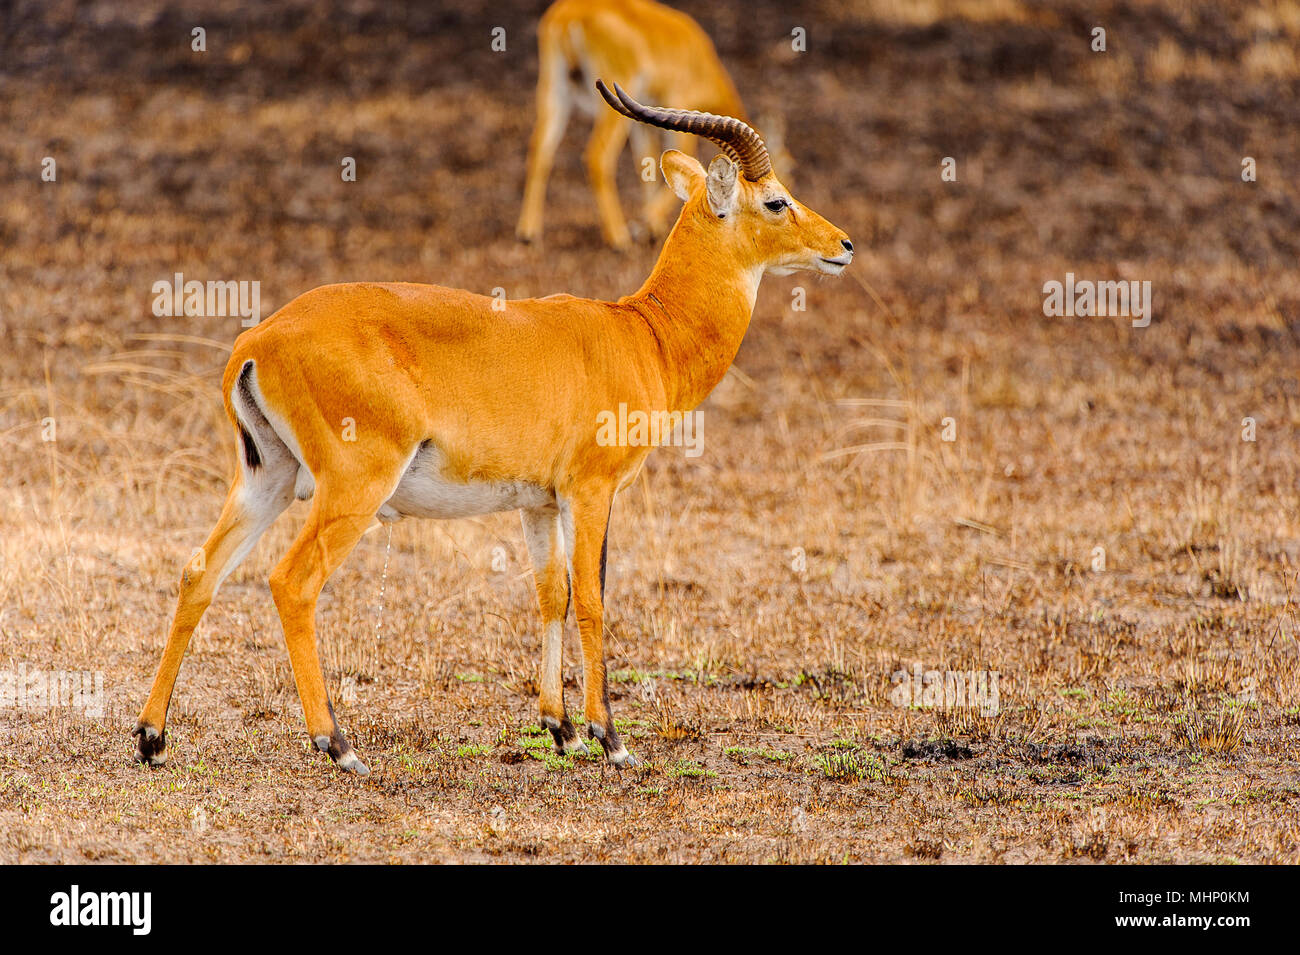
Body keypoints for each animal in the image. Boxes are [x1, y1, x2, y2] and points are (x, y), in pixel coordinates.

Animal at [133, 82, 853, 776]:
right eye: (777, 201)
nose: (843, 245)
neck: (645, 334)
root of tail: (258, 339)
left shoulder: (539, 502)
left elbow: (551, 595)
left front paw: (561, 729)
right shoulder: (592, 490)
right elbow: (593, 599)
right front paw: (611, 739)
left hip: (269, 478)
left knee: (199, 570)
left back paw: (152, 738)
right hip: (353, 487)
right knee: (292, 582)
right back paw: (338, 746)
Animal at [517, 0, 772, 250]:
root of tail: (570, 15)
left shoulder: (643, 117)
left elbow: (647, 160)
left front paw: (652, 228)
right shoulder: (677, 102)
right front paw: (644, 222)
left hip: (555, 89)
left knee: (540, 148)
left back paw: (528, 233)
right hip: (611, 97)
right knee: (597, 155)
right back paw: (619, 238)